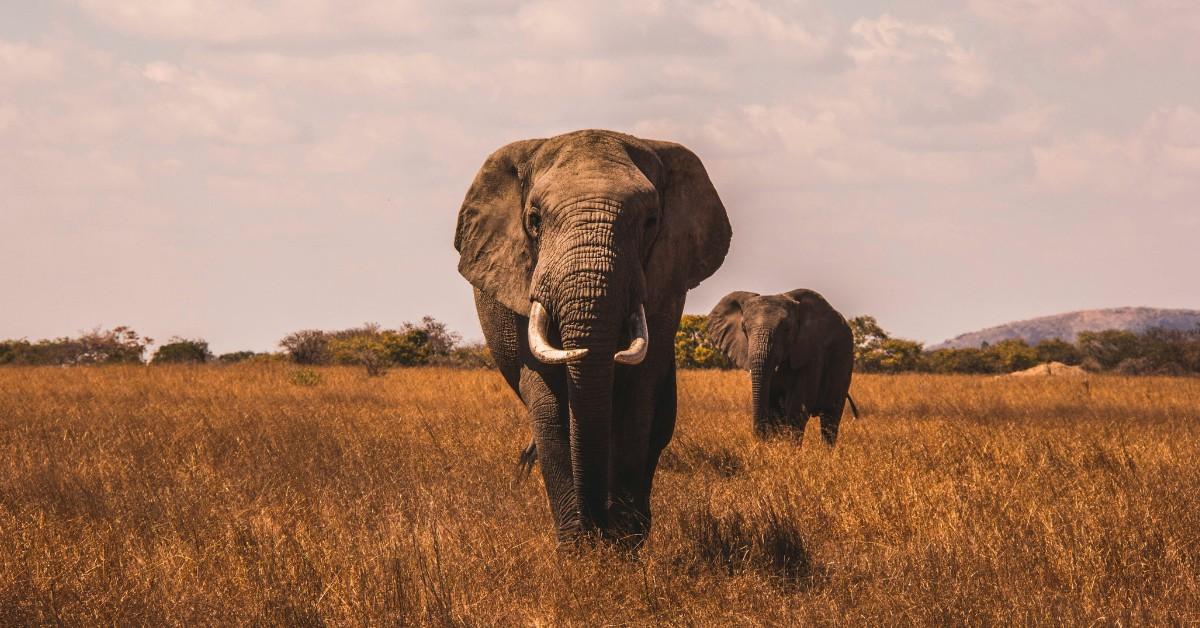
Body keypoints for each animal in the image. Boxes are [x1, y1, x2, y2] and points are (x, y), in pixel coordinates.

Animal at [453, 129, 731, 544]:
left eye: (651, 221)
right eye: (534, 220)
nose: (598, 525)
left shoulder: (665, 287)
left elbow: (638, 399)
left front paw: (623, 543)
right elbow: (549, 404)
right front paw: (579, 547)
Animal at [707, 289, 857, 443]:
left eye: (787, 329)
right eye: (743, 328)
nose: (760, 439)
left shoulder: (812, 352)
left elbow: (798, 407)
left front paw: (789, 448)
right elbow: (774, 408)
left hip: (844, 360)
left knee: (830, 417)